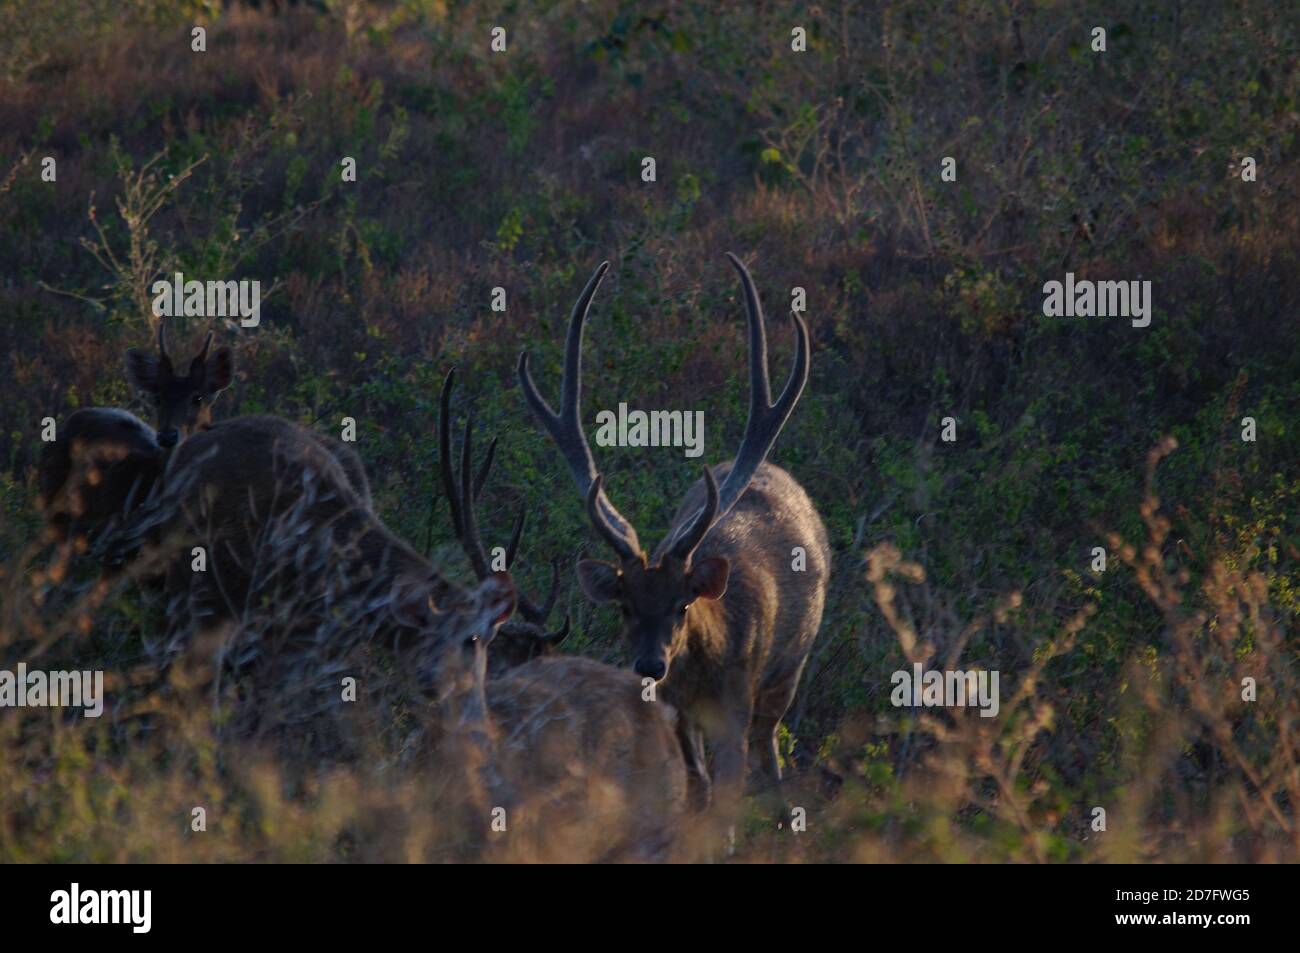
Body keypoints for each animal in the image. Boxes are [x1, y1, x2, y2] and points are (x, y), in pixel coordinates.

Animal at [517, 254, 831, 815]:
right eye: (624, 606)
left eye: (682, 605)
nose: (650, 664)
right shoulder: (676, 715)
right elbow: (695, 786)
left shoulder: (736, 701)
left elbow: (727, 793)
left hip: (788, 670)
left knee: (770, 744)